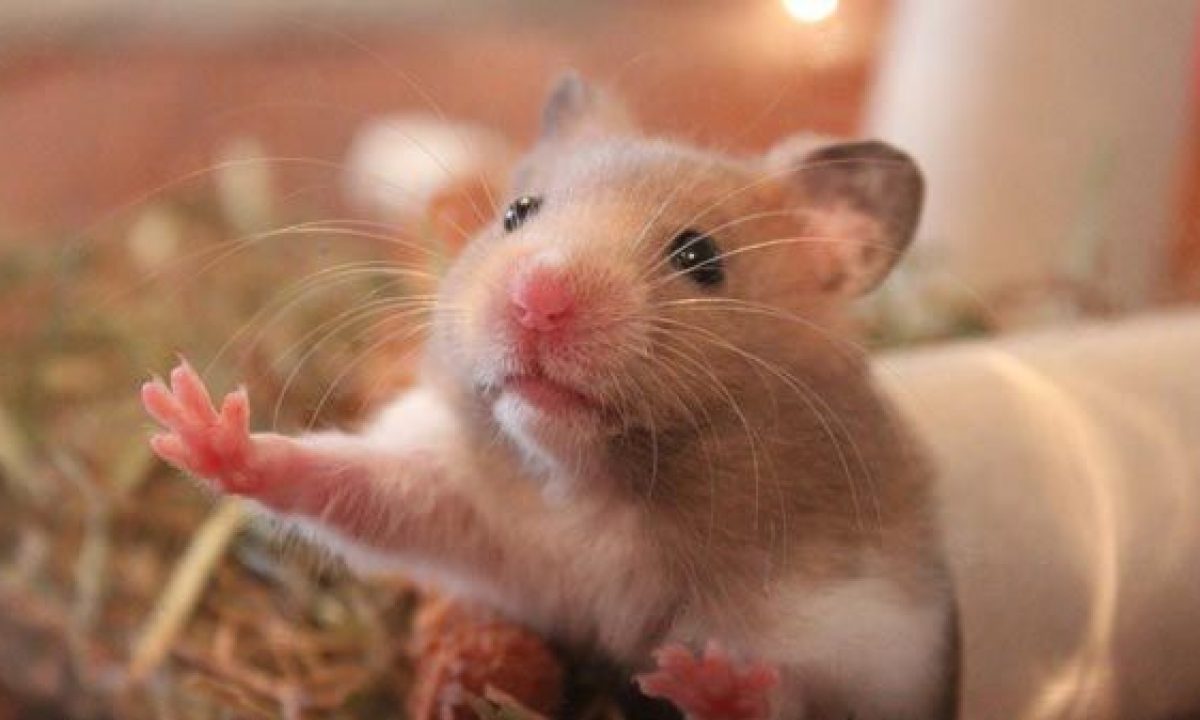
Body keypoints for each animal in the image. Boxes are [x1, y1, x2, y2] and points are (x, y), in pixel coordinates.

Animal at [141, 73, 959, 720]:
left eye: (701, 257)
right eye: (518, 212)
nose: (538, 297)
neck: (594, 488)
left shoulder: (859, 635)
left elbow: (785, 696)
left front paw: (708, 681)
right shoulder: (468, 508)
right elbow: (348, 483)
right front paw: (195, 422)